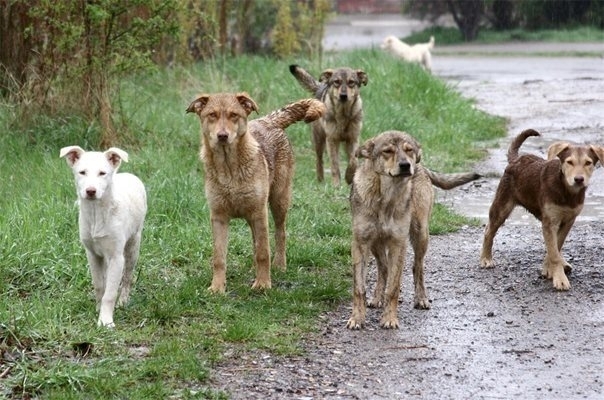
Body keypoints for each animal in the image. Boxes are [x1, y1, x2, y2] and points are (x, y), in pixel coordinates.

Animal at [59, 145, 147, 326]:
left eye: (102, 173)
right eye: (82, 172)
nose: (90, 191)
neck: (96, 213)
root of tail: (129, 175)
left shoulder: (116, 257)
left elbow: (110, 293)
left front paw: (106, 321)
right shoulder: (92, 254)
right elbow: (99, 285)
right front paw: (98, 310)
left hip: (133, 245)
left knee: (127, 277)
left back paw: (123, 301)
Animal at [186, 94, 326, 294]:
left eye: (234, 115)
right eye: (212, 115)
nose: (222, 136)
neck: (229, 168)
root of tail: (268, 120)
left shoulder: (260, 213)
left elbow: (263, 252)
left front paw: (263, 284)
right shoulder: (218, 216)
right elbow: (219, 257)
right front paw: (217, 287)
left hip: (278, 201)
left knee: (280, 233)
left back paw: (279, 265)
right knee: (256, 241)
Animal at [344, 131, 482, 328]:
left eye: (409, 150)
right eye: (387, 151)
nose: (406, 165)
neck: (385, 197)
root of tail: (421, 166)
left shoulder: (398, 243)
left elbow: (393, 288)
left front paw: (389, 319)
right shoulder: (360, 243)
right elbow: (359, 288)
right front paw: (357, 318)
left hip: (420, 234)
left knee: (417, 267)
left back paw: (421, 298)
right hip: (376, 243)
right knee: (383, 268)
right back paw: (377, 298)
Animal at [478, 130, 600, 290]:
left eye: (588, 163)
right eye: (569, 162)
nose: (579, 179)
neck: (566, 190)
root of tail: (516, 160)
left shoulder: (568, 221)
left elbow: (556, 246)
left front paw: (549, 269)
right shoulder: (550, 222)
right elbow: (554, 251)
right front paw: (559, 278)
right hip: (502, 206)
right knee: (489, 231)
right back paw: (486, 259)